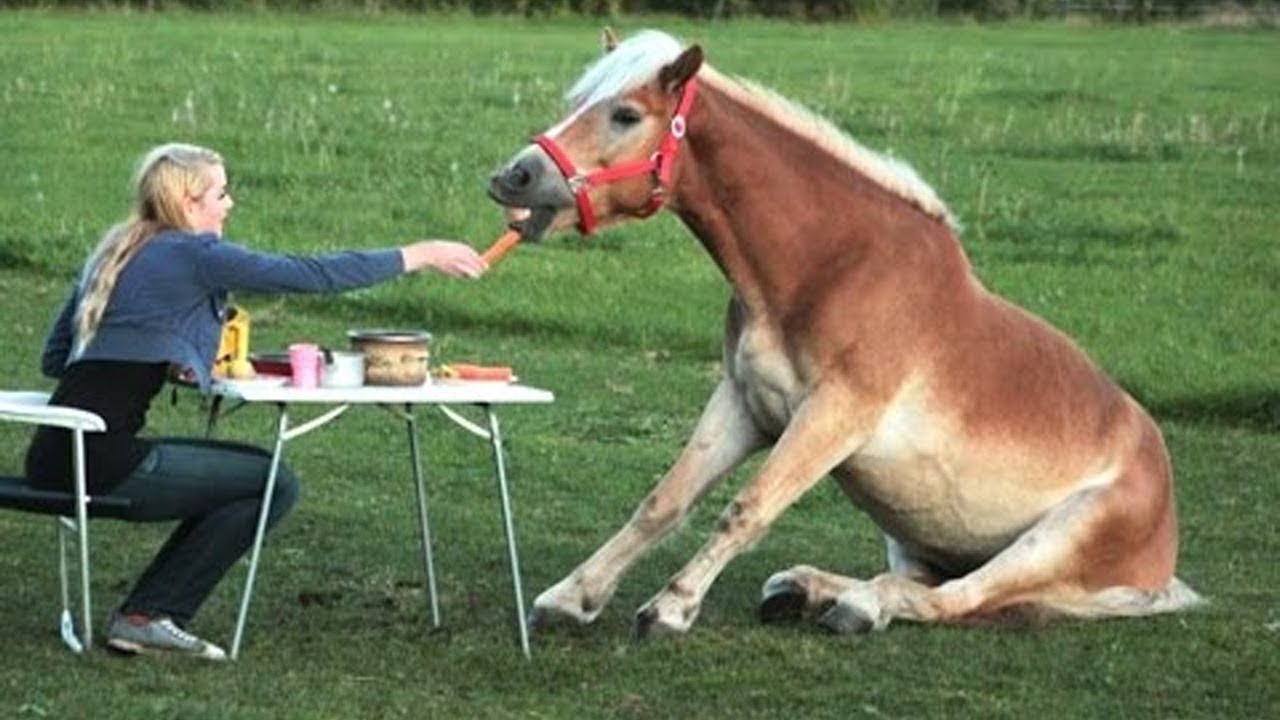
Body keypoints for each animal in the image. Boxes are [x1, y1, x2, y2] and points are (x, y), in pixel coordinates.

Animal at [488, 28, 1203, 639]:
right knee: (923, 579)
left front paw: (670, 608)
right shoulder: (744, 403)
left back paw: (858, 605)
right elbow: (665, 501)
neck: (827, 267)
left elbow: (747, 507)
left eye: (626, 115)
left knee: (953, 598)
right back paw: (805, 589)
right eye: (578, 101)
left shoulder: (833, 417)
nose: (512, 177)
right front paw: (572, 597)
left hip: (1052, 540)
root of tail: (1161, 552)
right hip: (914, 532)